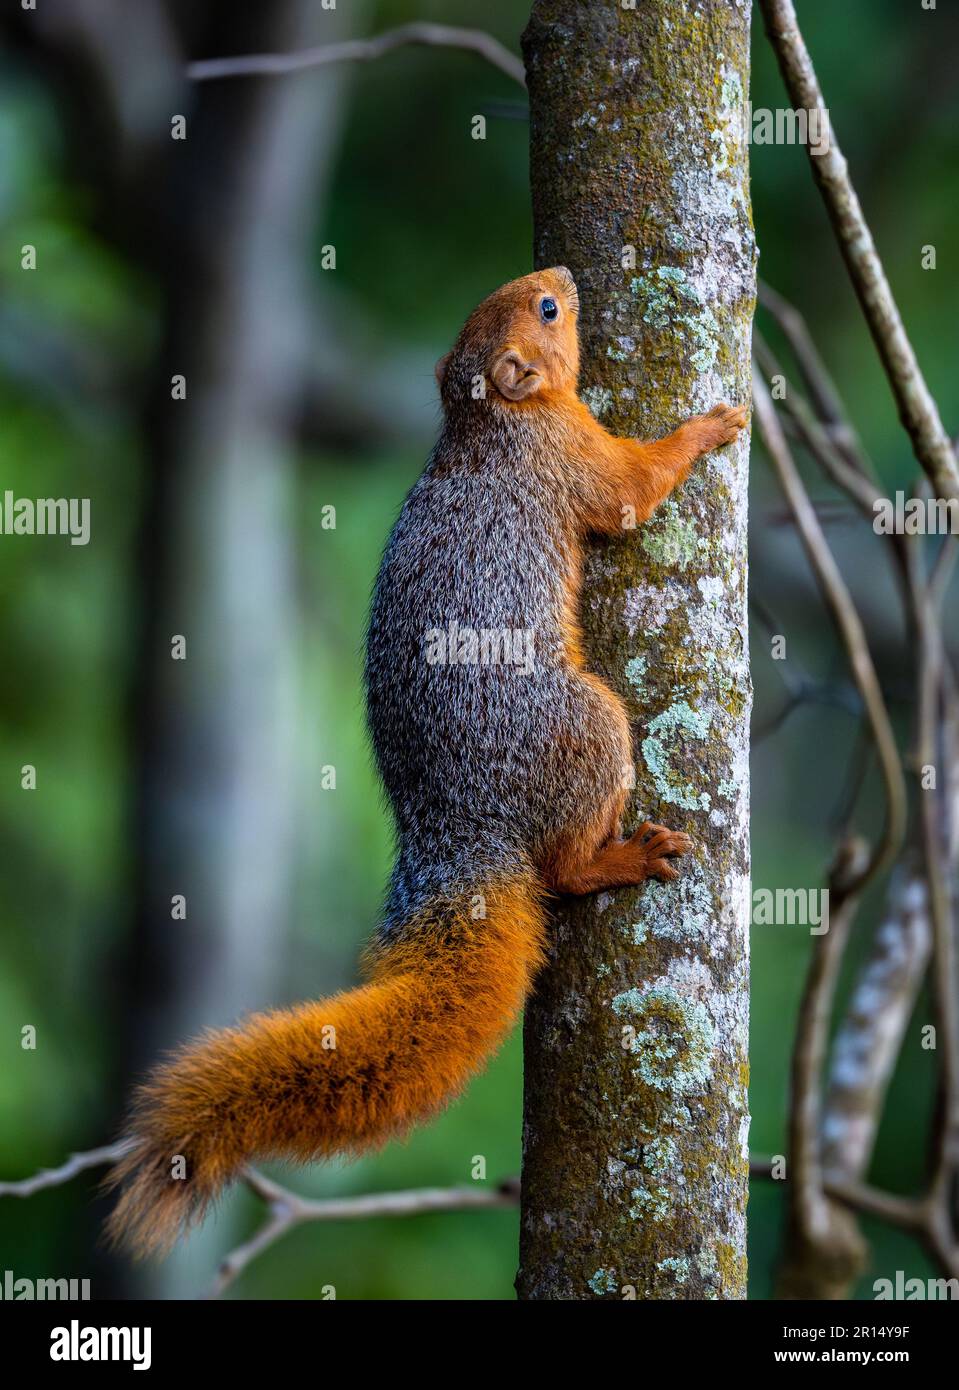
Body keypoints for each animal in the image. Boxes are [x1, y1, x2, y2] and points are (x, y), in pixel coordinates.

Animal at [107, 267, 746, 1256]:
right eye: (545, 312)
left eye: (525, 294)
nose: (562, 276)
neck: (486, 419)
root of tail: (455, 829)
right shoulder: (567, 455)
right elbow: (633, 489)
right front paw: (709, 428)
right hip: (585, 726)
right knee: (561, 869)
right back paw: (621, 857)